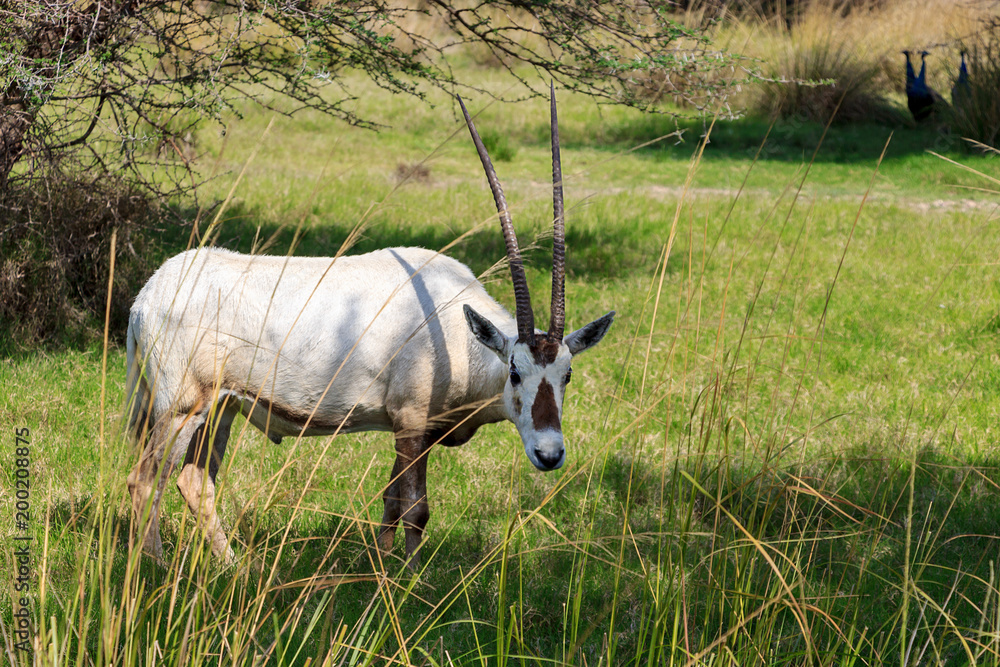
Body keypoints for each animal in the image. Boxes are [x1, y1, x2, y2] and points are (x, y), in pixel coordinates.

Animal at [124, 87, 615, 568]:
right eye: (515, 372)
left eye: (566, 375)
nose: (549, 454)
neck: (456, 330)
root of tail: (146, 296)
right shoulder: (411, 422)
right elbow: (415, 507)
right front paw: (410, 580)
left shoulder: (415, 430)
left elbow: (392, 500)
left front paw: (379, 567)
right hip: (181, 407)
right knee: (144, 481)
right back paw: (155, 566)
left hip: (220, 408)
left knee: (193, 482)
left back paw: (237, 568)